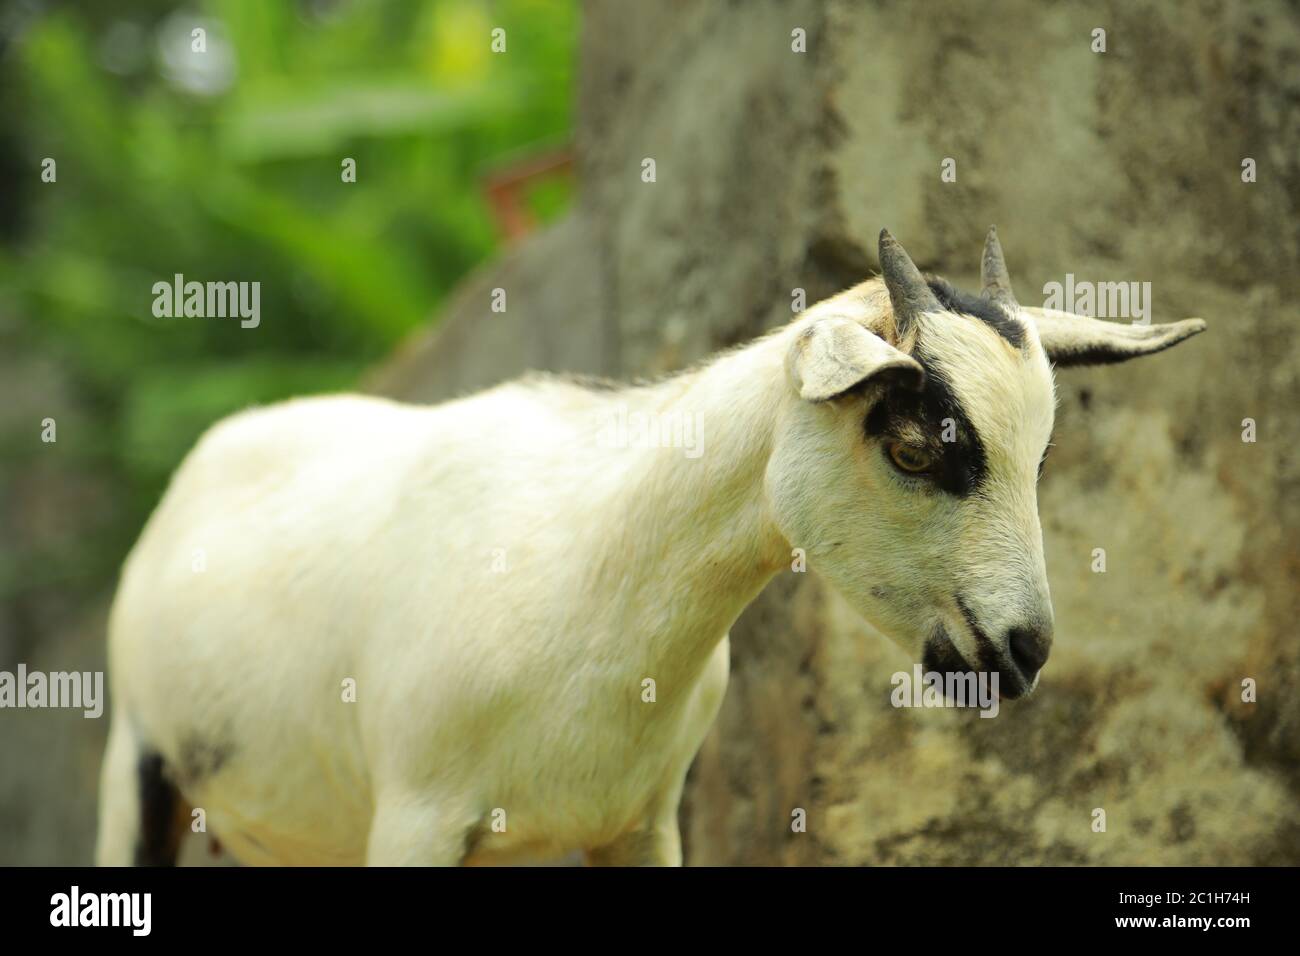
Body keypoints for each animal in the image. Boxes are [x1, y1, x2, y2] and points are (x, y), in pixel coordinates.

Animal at [96, 229, 1204, 866]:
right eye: (911, 446)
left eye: (1038, 455)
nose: (1022, 650)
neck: (593, 582)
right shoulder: (415, 814)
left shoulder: (639, 822)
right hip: (139, 766)